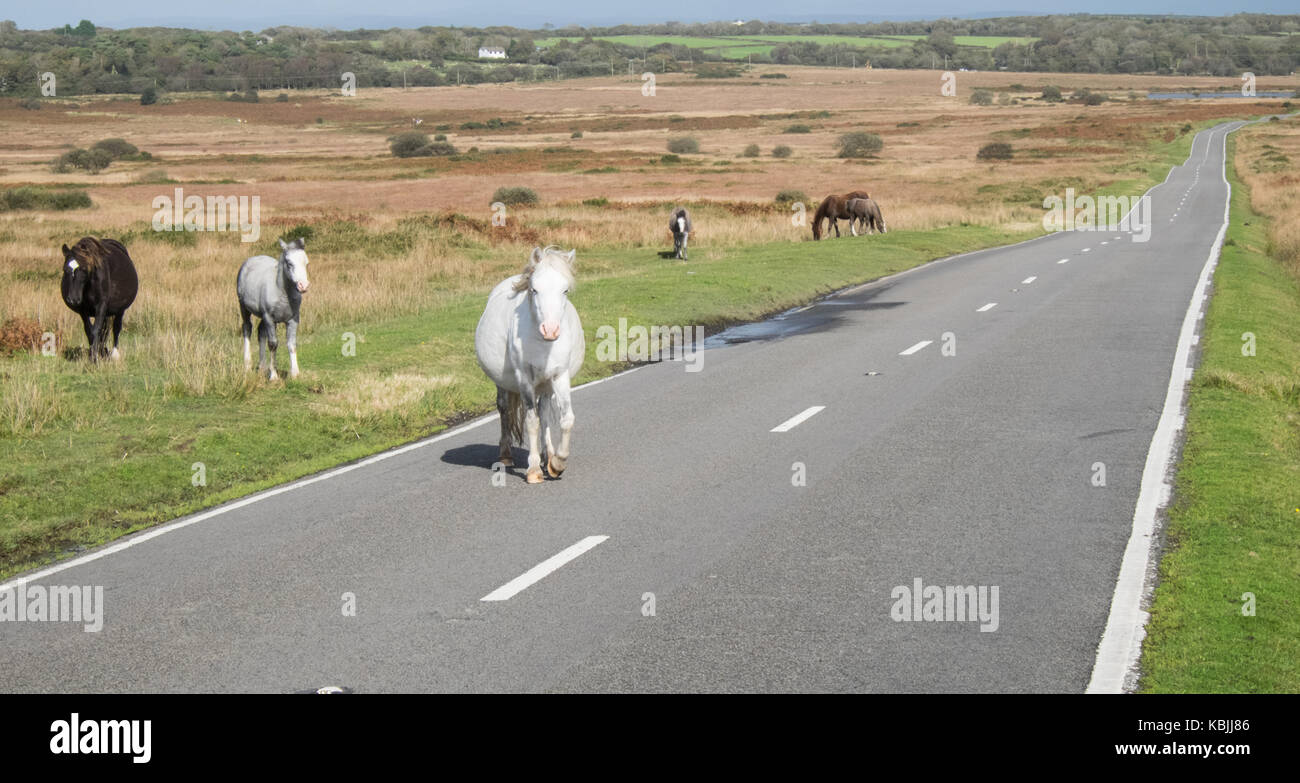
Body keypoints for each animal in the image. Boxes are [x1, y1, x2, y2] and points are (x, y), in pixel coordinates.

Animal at [236, 237, 311, 380]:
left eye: (306, 262)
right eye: (289, 263)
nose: (303, 286)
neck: (283, 294)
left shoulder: (293, 319)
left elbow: (291, 344)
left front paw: (295, 374)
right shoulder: (269, 318)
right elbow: (273, 344)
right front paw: (274, 376)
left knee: (260, 332)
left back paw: (262, 368)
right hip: (244, 307)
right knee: (247, 328)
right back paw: (248, 365)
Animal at [474, 246, 585, 484]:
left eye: (565, 290)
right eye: (534, 289)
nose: (550, 330)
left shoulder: (560, 376)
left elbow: (565, 419)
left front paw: (557, 463)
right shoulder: (524, 379)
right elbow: (532, 421)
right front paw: (533, 470)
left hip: (545, 385)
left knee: (544, 412)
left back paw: (547, 455)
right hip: (504, 384)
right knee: (505, 409)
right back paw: (506, 455)